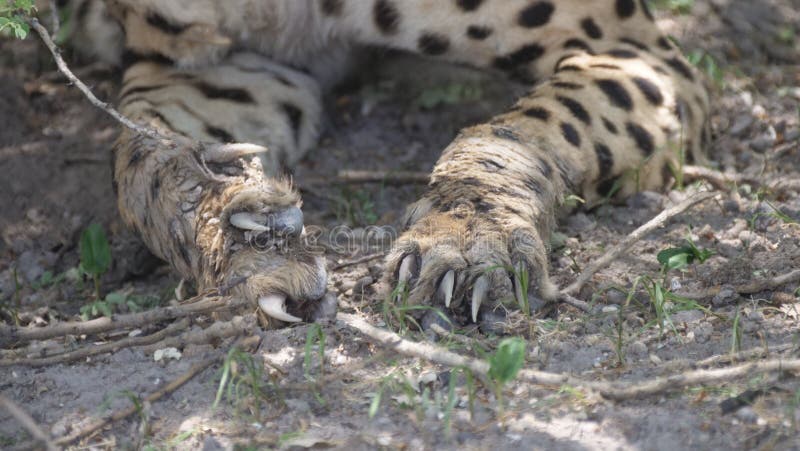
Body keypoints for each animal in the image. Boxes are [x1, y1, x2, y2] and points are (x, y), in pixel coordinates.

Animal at [63, 0, 710, 327]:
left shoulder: (633, 50)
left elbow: (528, 126)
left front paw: (469, 235)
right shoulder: (211, 70)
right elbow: (141, 154)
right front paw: (243, 236)